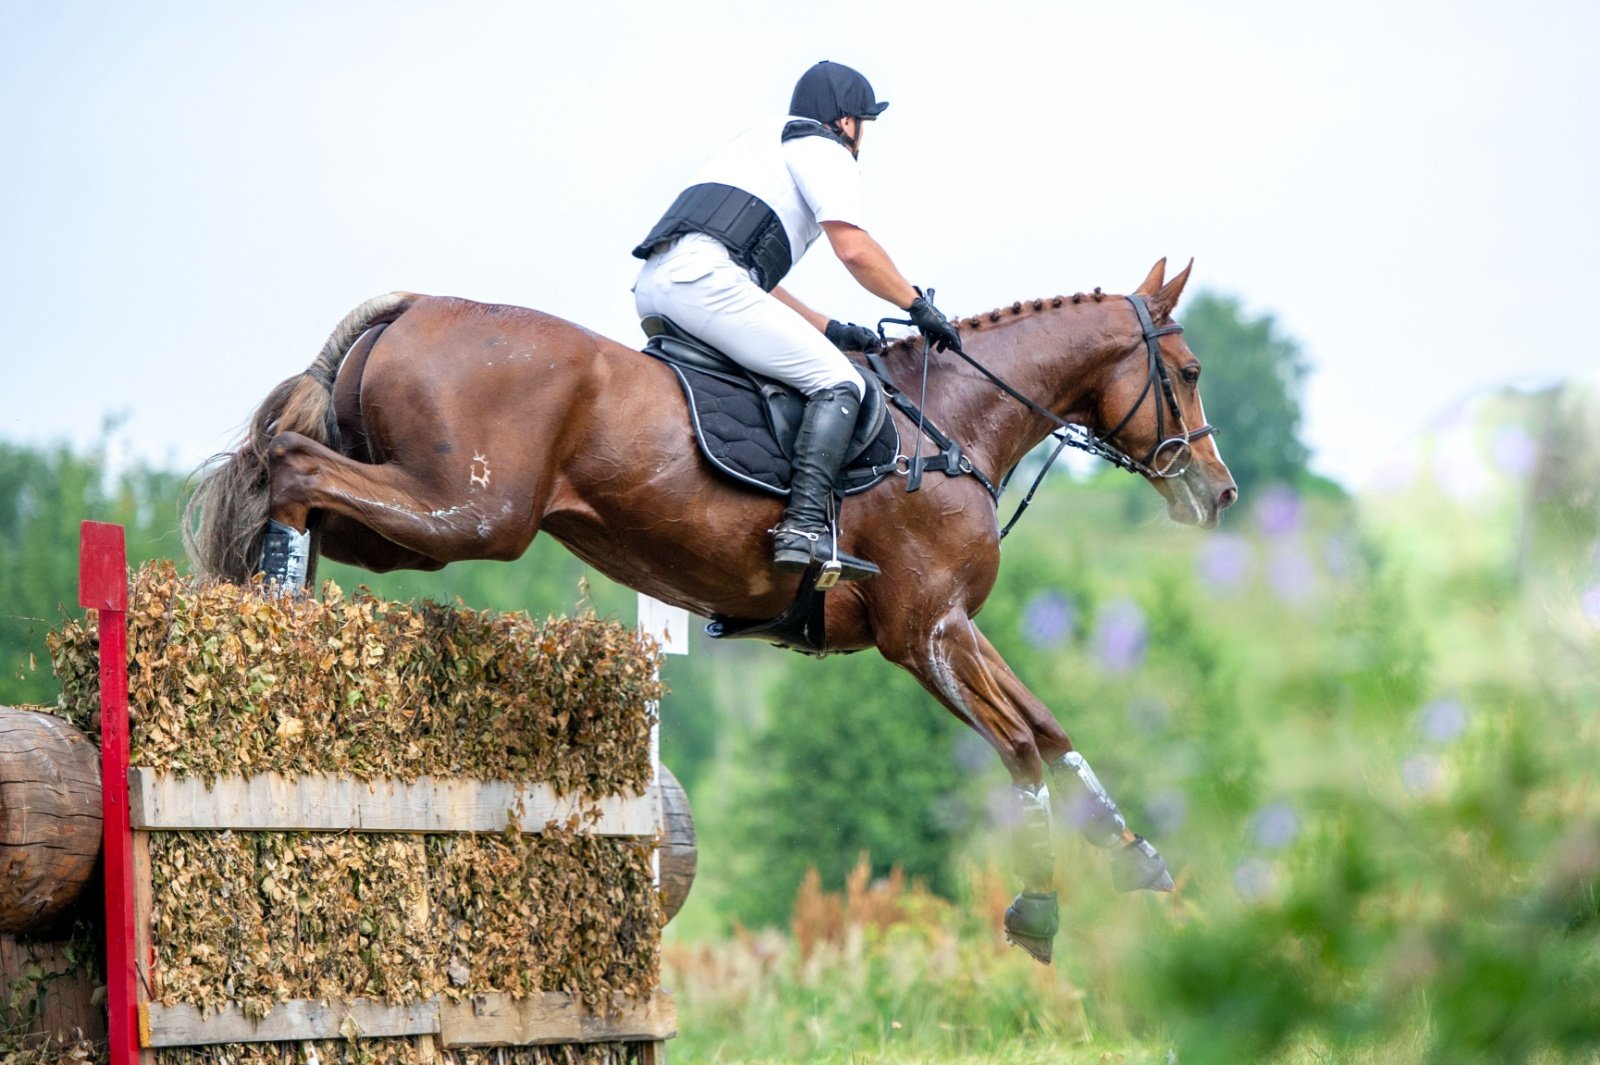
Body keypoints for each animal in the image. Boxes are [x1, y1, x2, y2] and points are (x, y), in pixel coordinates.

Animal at [185, 257, 1236, 963]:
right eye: (1186, 371)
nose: (1218, 494)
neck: (952, 427)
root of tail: (413, 306)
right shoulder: (923, 630)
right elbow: (1019, 746)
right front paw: (1038, 911)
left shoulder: (947, 628)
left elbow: (1051, 732)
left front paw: (1142, 862)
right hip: (467, 512)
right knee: (292, 465)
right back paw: (273, 627)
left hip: (420, 528)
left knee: (298, 482)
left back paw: (277, 621)